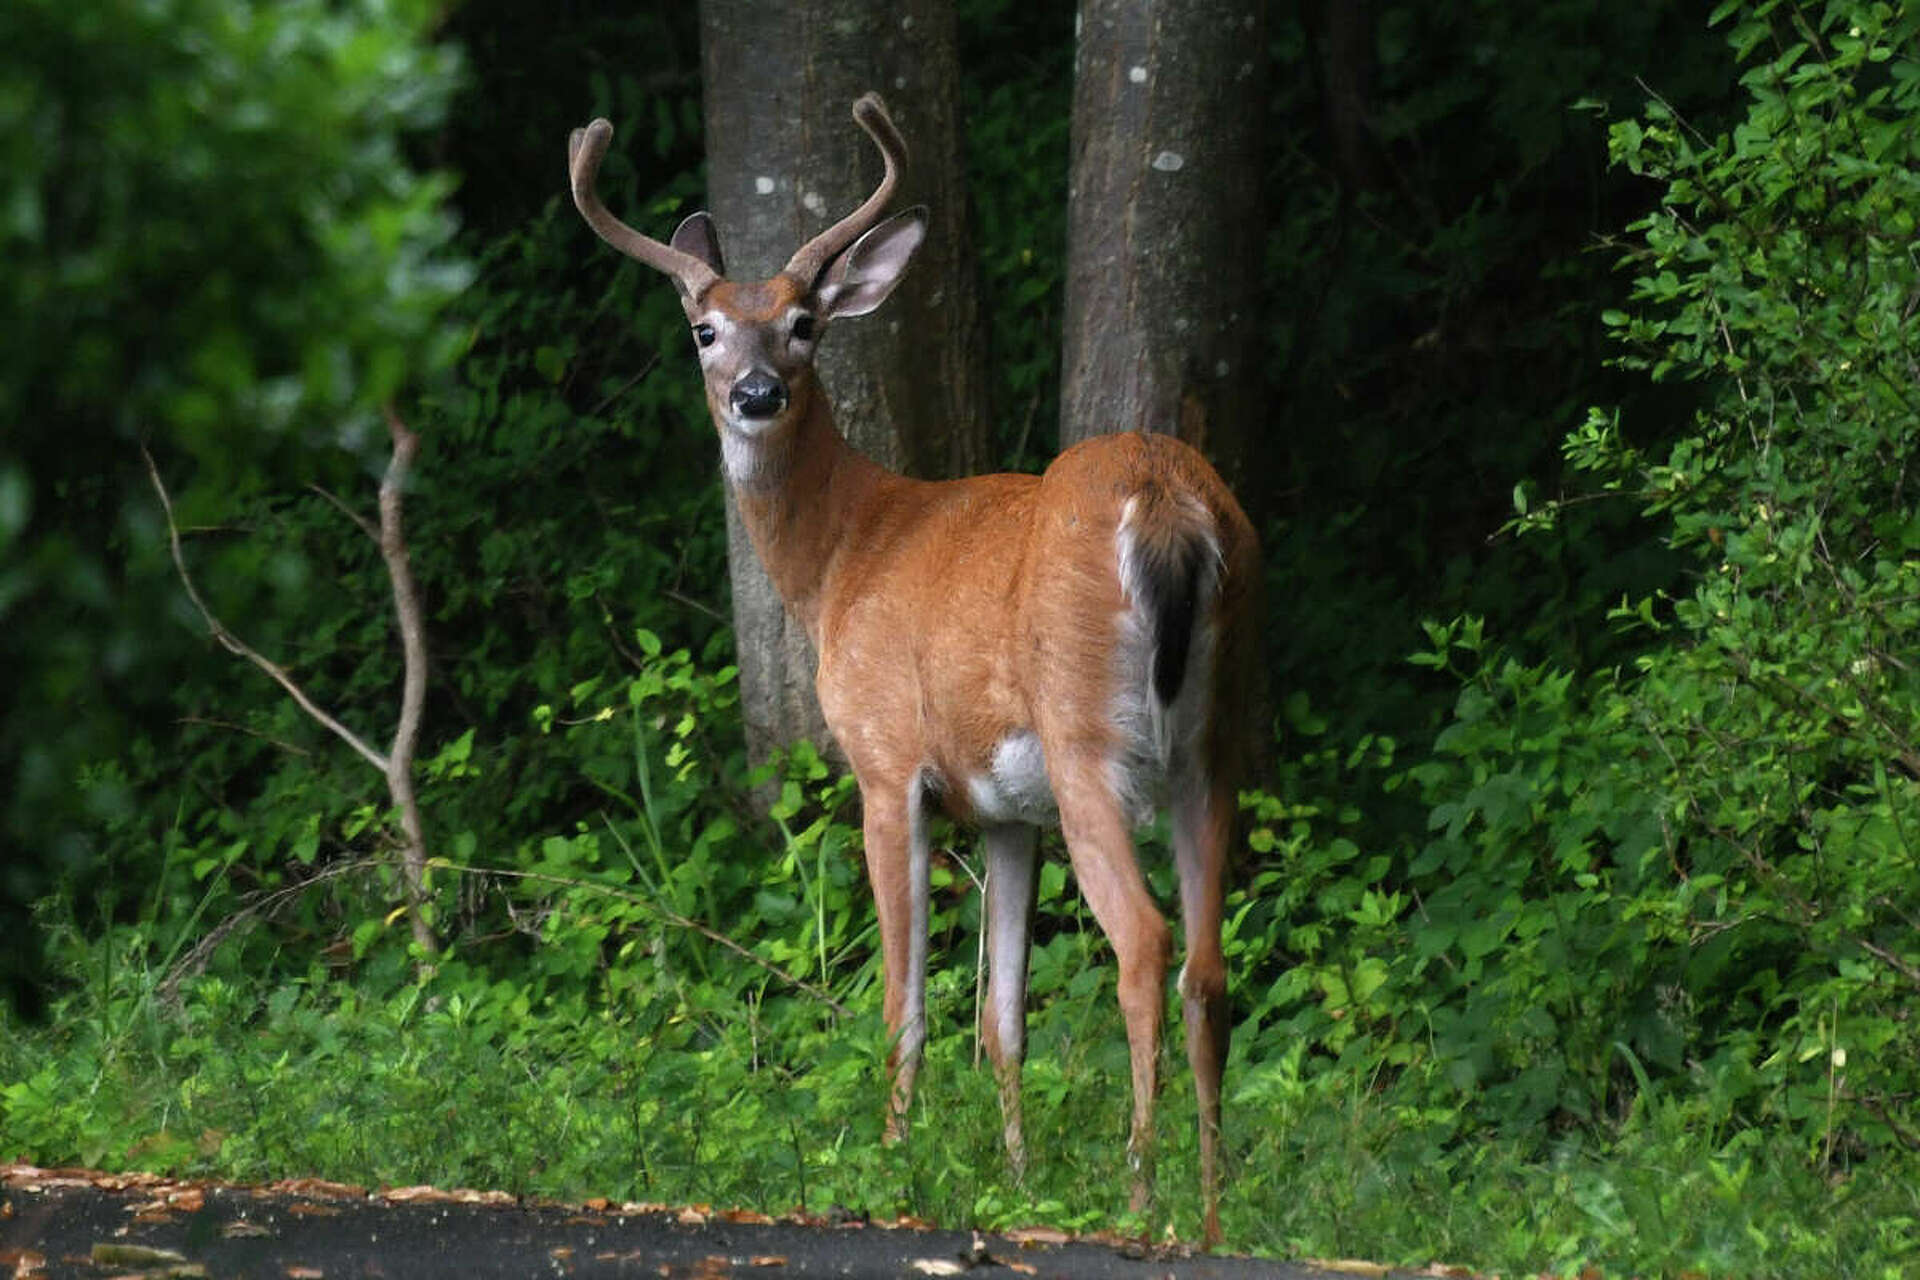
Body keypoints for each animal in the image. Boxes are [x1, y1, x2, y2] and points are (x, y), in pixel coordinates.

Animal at [567, 92, 1257, 1246]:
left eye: (803, 324)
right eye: (705, 329)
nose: (756, 392)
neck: (843, 554)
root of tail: (1169, 504)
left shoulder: (887, 761)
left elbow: (905, 1002)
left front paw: (892, 1162)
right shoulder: (1008, 808)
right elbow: (1002, 1013)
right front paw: (1016, 1175)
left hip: (1089, 737)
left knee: (1145, 943)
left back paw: (1140, 1192)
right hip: (1216, 737)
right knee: (1208, 962)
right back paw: (1210, 1210)